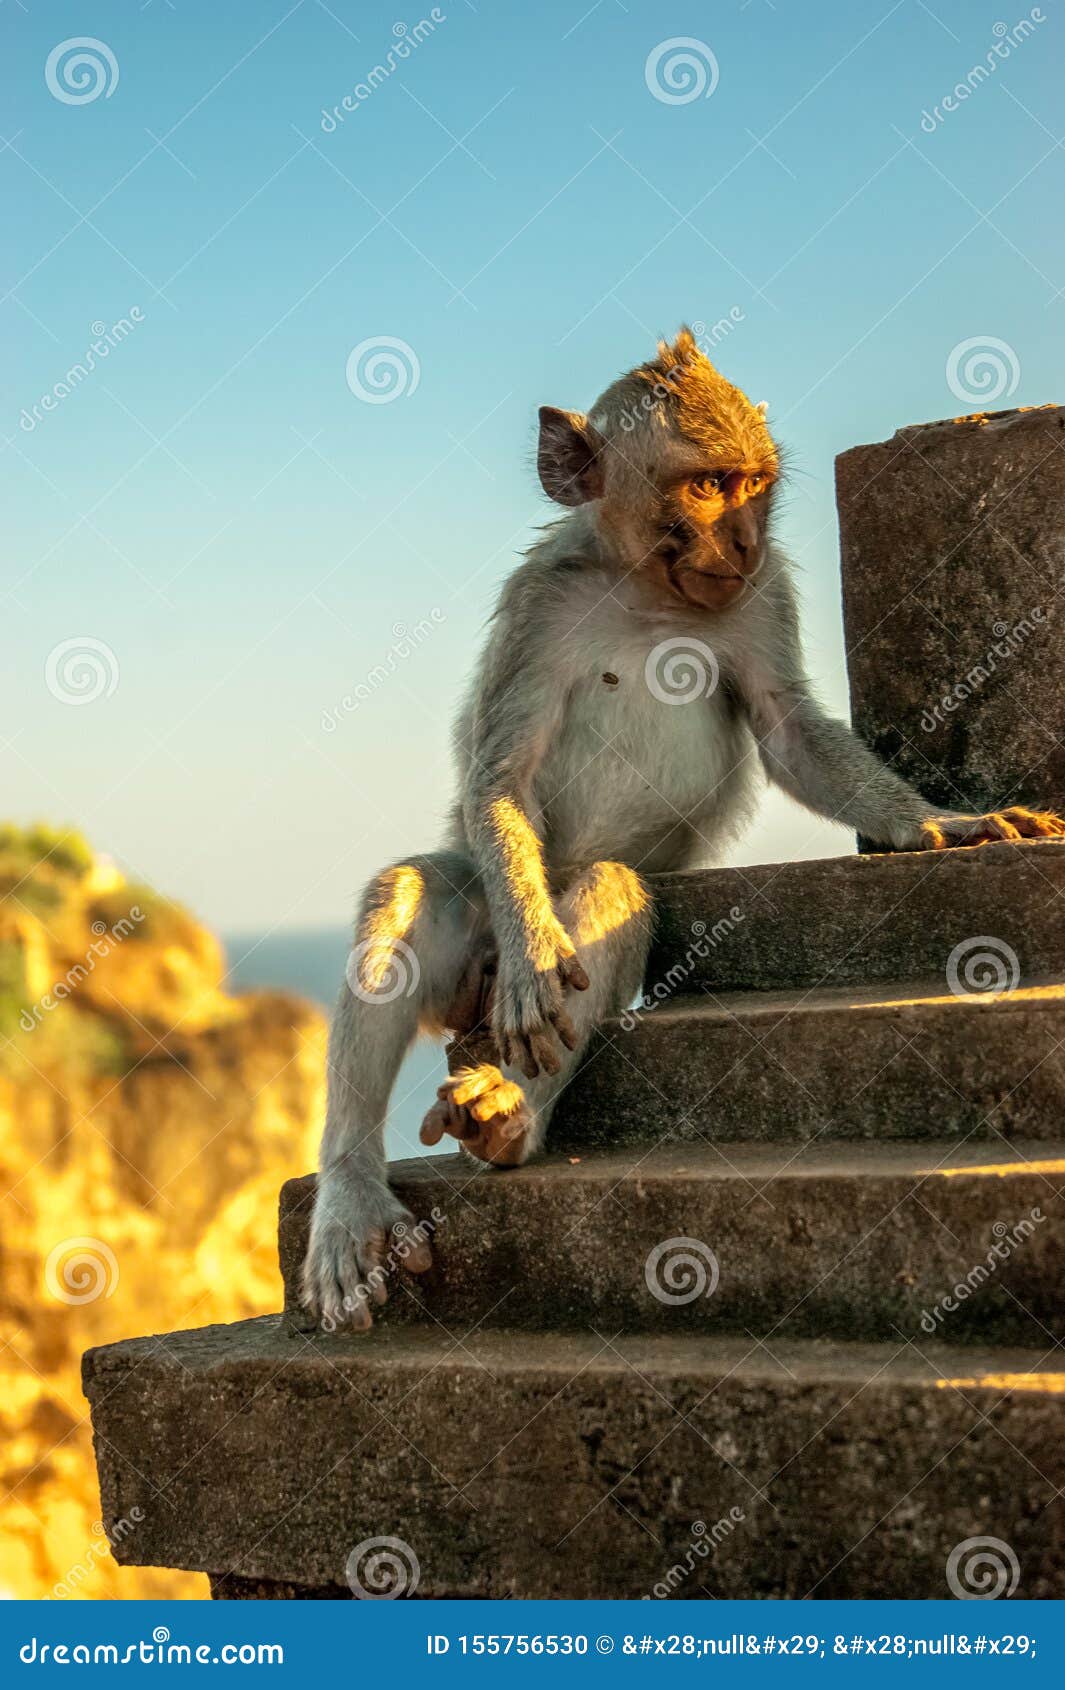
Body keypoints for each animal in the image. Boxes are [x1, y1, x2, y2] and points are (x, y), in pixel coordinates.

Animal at [301, 326, 1065, 1330]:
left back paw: (507, 1117)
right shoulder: (537, 603)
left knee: (611, 889)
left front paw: (944, 823)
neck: (643, 594)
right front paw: (534, 955)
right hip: (473, 973)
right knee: (419, 893)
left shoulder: (762, 592)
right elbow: (500, 779)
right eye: (705, 484)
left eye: (755, 485)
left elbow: (787, 730)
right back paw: (354, 1188)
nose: (743, 536)